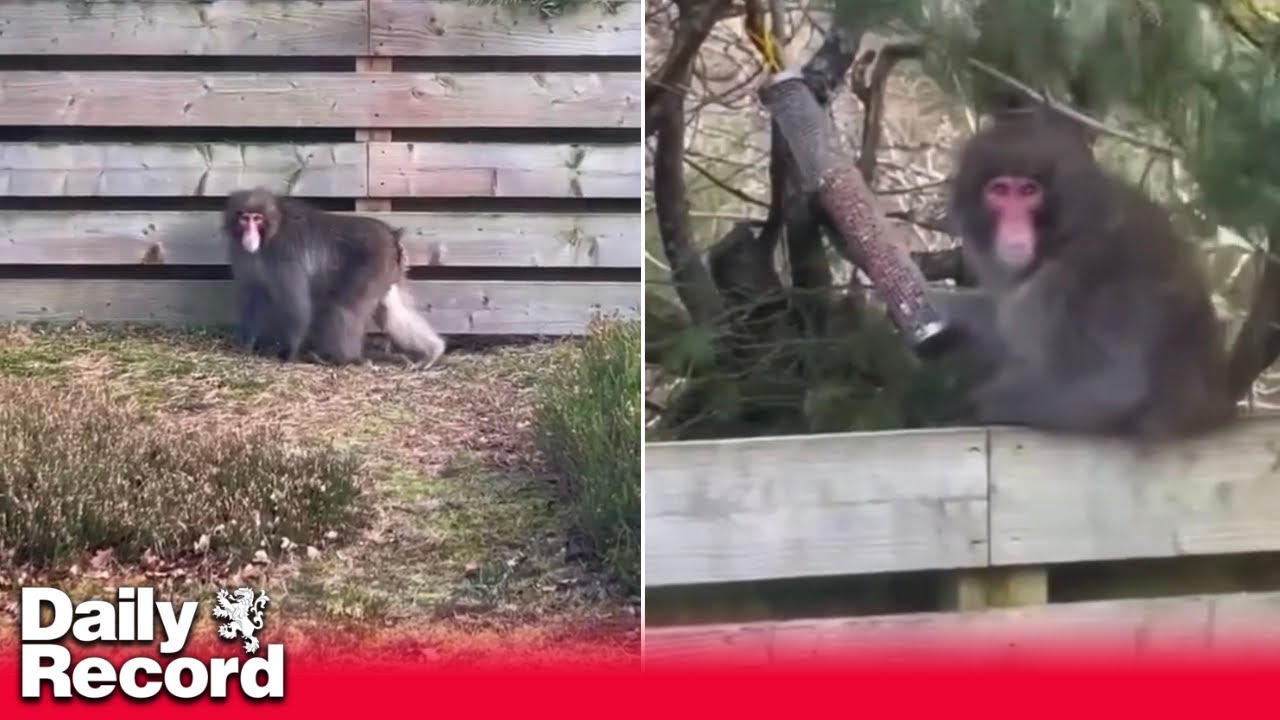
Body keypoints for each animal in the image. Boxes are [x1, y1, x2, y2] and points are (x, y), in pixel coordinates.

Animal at [223, 188, 447, 368]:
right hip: (388, 271)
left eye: (257, 218)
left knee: (345, 307)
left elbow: (297, 307)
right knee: (392, 312)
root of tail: (392, 235)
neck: (271, 232)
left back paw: (346, 359)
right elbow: (254, 293)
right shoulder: (244, 256)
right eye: (244, 218)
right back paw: (433, 352)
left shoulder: (285, 254)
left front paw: (288, 353)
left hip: (373, 264)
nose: (249, 235)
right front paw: (247, 344)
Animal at [926, 108, 1234, 441]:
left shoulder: (1072, 270)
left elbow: (1118, 384)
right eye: (999, 191)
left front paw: (965, 409)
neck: (1060, 232)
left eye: (1028, 191)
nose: (1014, 225)